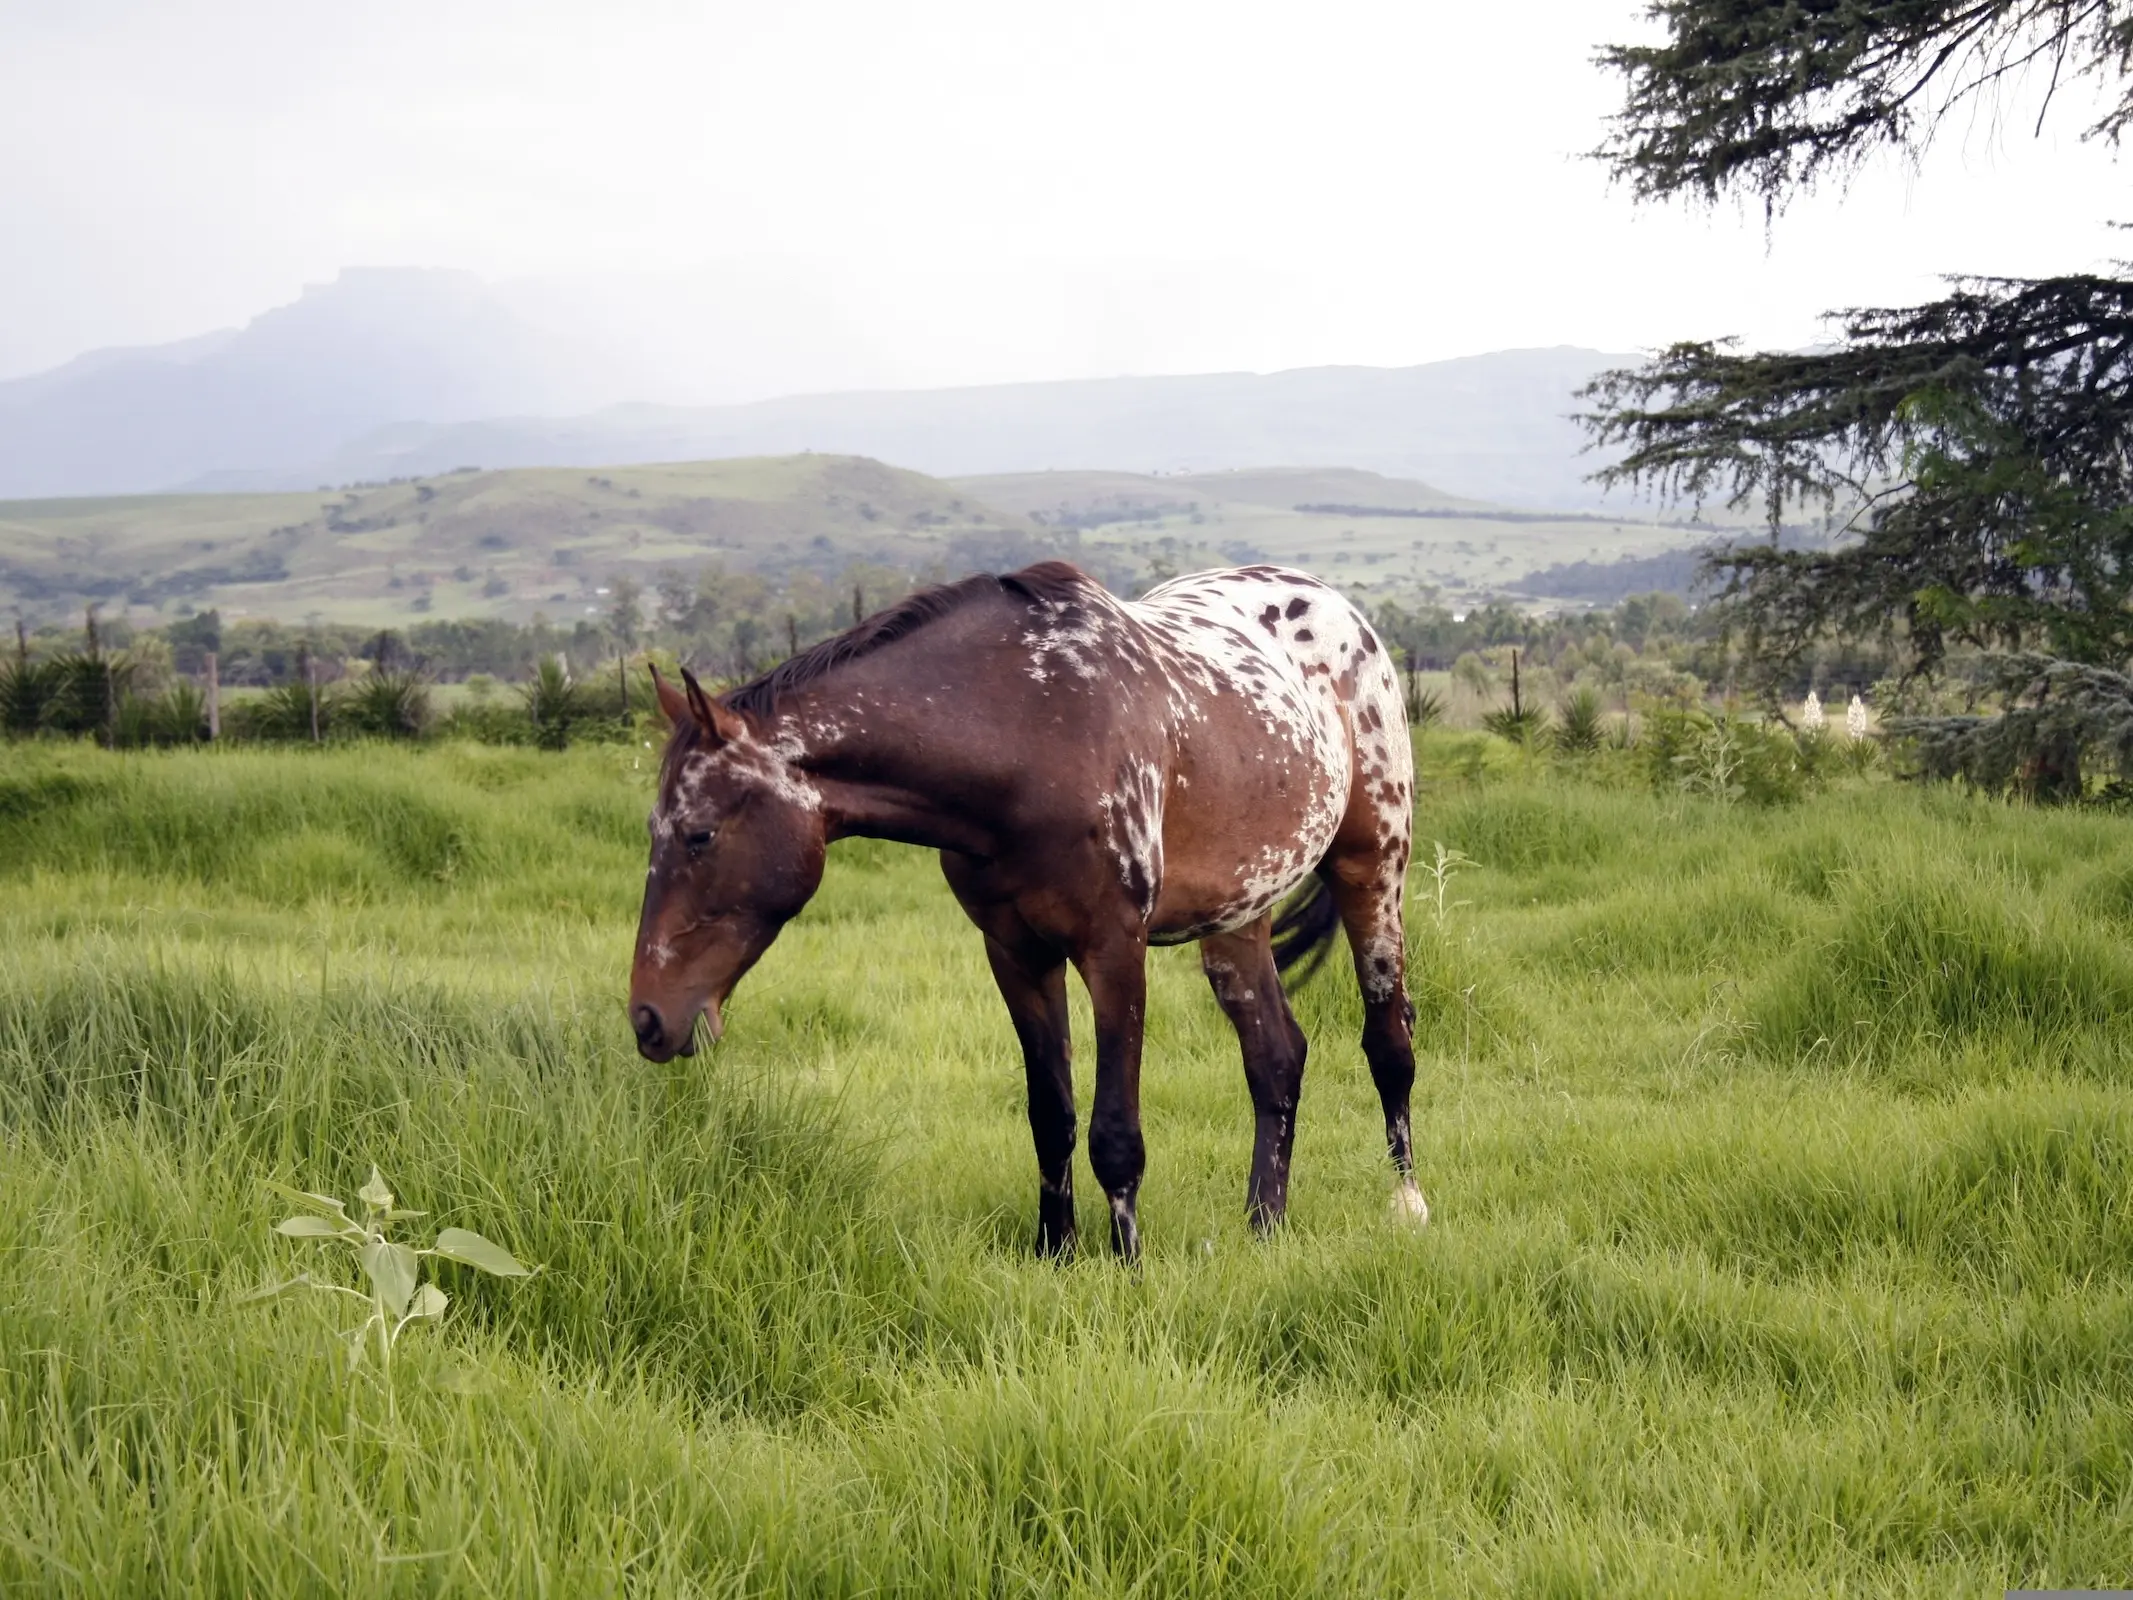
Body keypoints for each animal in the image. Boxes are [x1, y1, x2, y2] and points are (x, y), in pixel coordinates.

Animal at [628, 560, 1426, 1260]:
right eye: (655, 830)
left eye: (699, 834)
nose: (648, 1019)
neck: (1032, 732)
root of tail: (1334, 605)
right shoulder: (1015, 951)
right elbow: (1052, 1115)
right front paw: (1057, 1252)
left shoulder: (1113, 947)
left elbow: (1115, 1132)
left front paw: (1127, 1267)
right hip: (1237, 918)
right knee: (1275, 1060)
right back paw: (1264, 1225)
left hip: (1372, 868)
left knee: (1388, 1042)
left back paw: (1406, 1203)